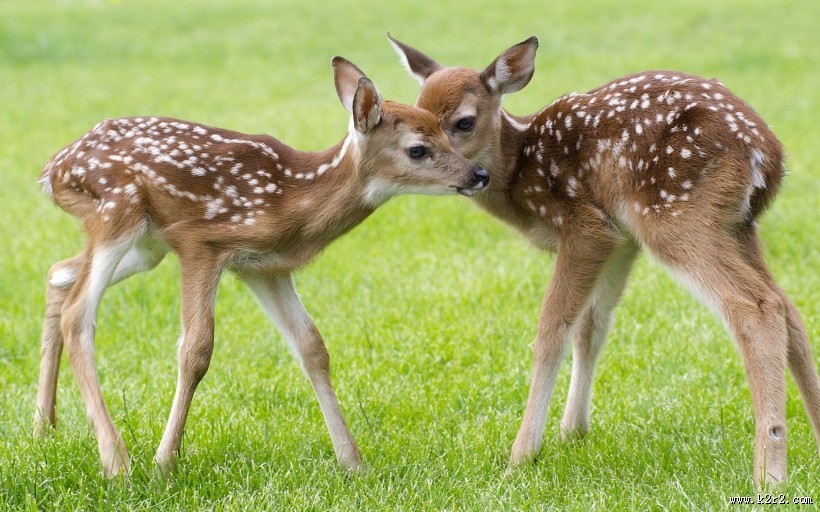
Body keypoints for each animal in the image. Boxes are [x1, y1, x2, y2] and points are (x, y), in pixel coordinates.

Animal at [33, 56, 490, 478]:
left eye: (447, 131)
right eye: (418, 149)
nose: (479, 174)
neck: (292, 200)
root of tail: (52, 170)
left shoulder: (264, 268)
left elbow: (312, 347)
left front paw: (353, 463)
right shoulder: (200, 243)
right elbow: (196, 350)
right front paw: (165, 463)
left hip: (145, 244)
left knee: (59, 273)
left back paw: (43, 428)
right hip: (119, 206)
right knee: (78, 311)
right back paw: (117, 464)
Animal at [388, 34, 820, 488]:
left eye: (464, 122)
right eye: (421, 119)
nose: (461, 174)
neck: (520, 171)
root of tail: (769, 156)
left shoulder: (585, 226)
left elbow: (552, 329)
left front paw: (523, 454)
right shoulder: (621, 238)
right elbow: (591, 326)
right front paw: (572, 431)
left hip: (673, 214)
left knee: (755, 306)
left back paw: (769, 474)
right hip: (738, 225)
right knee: (787, 307)